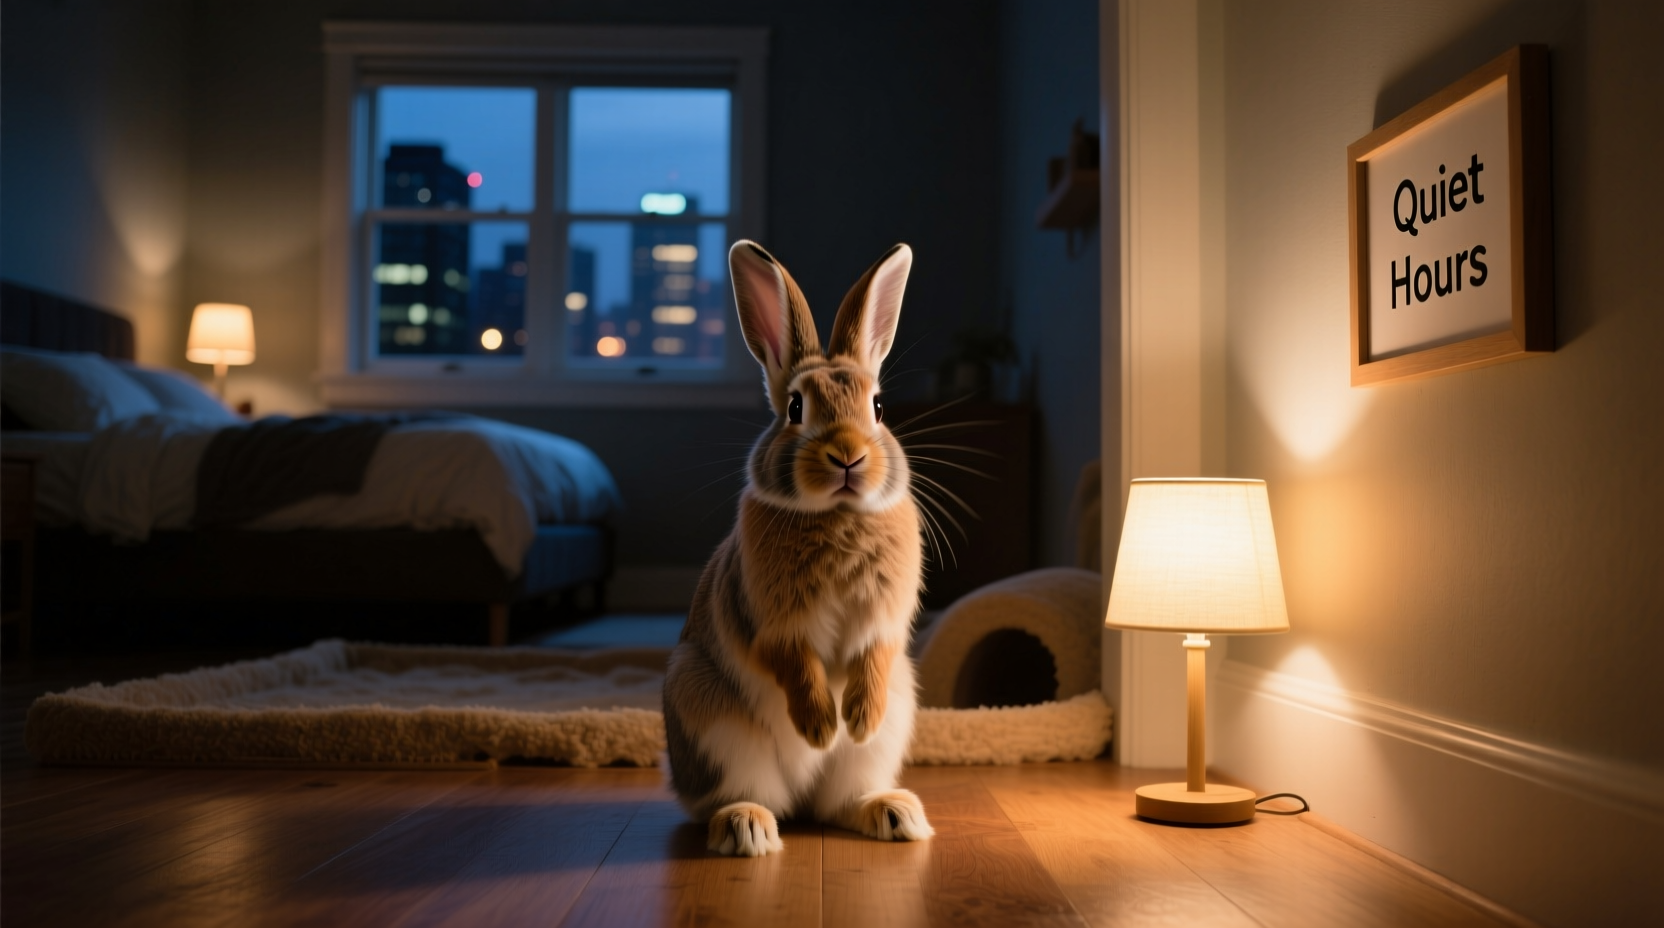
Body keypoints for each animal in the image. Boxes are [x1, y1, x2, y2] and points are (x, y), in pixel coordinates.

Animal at [662, 240, 933, 857]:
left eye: (877, 408)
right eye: (794, 409)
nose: (848, 456)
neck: (837, 517)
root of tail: (801, 800)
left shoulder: (884, 625)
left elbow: (873, 658)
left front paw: (856, 722)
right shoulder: (770, 622)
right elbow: (795, 663)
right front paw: (819, 727)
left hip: (887, 730)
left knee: (841, 801)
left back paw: (893, 813)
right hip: (711, 718)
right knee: (738, 796)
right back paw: (746, 828)